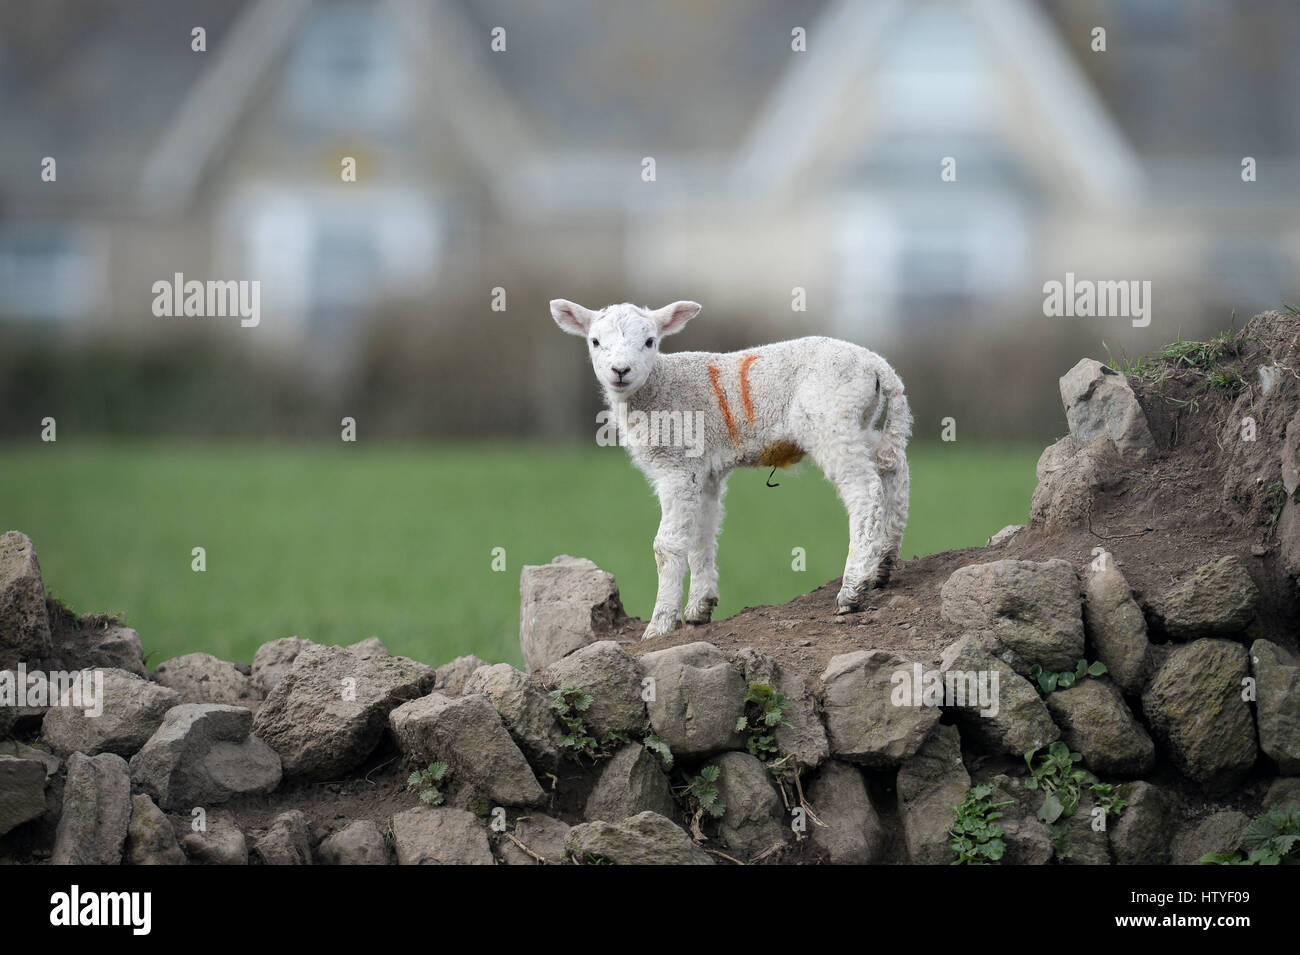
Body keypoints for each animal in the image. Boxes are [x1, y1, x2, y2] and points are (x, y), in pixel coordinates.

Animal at [550, 299, 912, 639]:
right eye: (595, 341)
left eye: (650, 341)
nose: (620, 370)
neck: (659, 387)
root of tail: (878, 365)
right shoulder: (704, 470)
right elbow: (701, 534)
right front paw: (699, 607)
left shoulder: (676, 465)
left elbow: (667, 545)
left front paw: (660, 625)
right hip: (859, 422)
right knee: (893, 467)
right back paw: (884, 563)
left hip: (831, 419)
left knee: (864, 489)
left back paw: (853, 588)